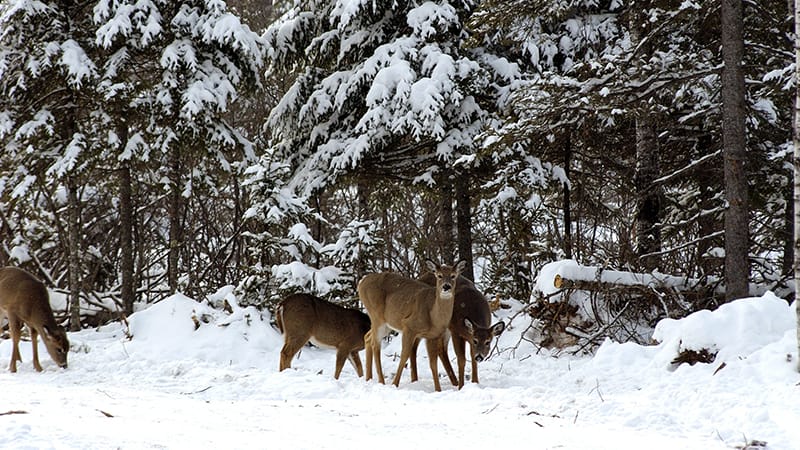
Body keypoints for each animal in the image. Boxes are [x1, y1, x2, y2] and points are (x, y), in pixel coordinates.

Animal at [358, 259, 465, 392]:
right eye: (439, 275)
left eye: (453, 276)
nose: (446, 286)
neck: (433, 317)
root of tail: (361, 282)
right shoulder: (408, 326)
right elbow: (404, 355)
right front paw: (395, 384)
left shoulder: (433, 336)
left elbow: (433, 363)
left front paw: (438, 389)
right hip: (377, 316)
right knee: (375, 344)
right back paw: (381, 381)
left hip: (387, 323)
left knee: (367, 337)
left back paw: (368, 378)